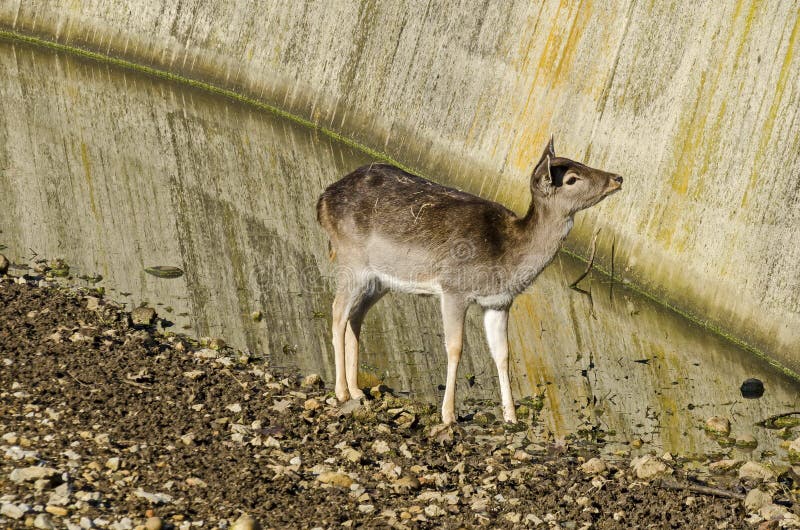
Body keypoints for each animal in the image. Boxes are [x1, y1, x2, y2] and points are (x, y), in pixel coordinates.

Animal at [316, 138, 622, 425]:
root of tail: (322, 200)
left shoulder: (500, 302)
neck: (506, 257)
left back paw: (357, 390)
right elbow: (455, 348)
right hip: (351, 258)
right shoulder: (454, 287)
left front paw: (511, 416)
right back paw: (341, 391)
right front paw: (449, 414)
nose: (617, 178)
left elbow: (503, 354)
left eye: (580, 162)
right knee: (337, 312)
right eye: (572, 179)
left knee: (356, 316)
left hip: (380, 279)